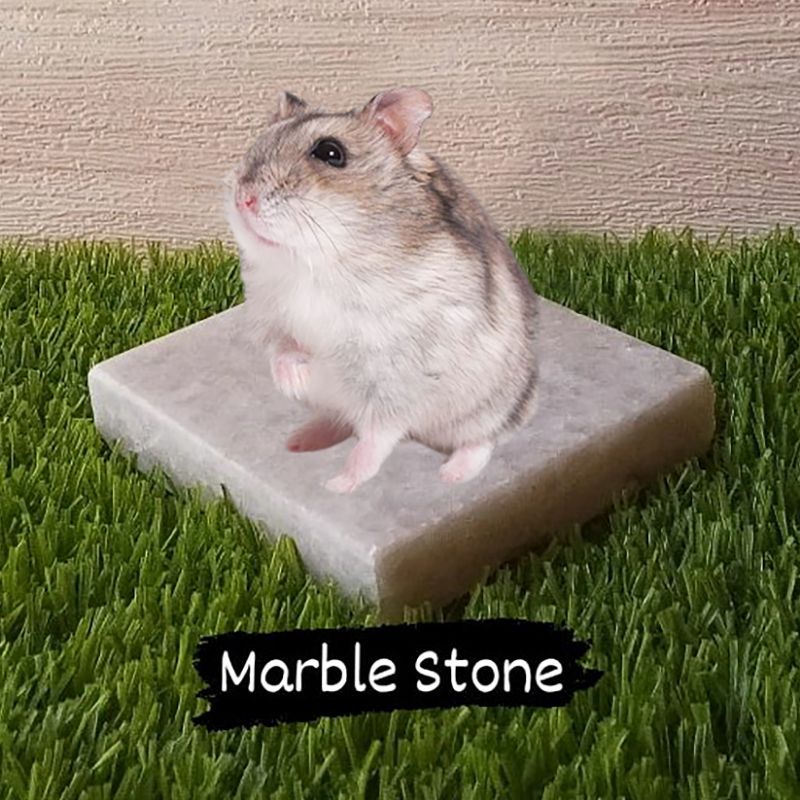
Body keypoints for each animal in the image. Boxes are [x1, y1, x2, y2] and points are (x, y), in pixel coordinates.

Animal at [224, 87, 539, 493]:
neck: (319, 263)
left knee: (482, 440)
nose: (243, 198)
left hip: (487, 407)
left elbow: (378, 434)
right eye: (258, 142)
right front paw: (295, 381)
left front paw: (338, 484)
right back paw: (298, 442)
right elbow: (282, 350)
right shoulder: (271, 317)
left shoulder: (396, 378)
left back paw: (451, 476)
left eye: (330, 152)